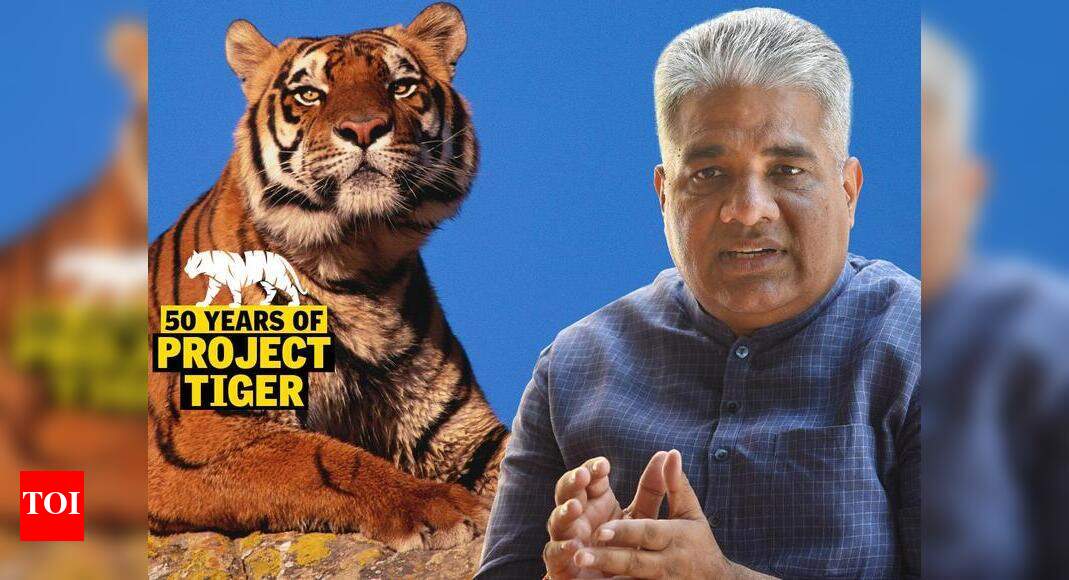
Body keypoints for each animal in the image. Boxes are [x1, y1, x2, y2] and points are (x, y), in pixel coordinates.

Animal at [148, 3, 509, 552]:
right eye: (309, 94)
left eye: (401, 85)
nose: (364, 128)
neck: (360, 269)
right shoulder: (199, 434)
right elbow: (323, 460)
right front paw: (441, 507)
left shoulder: (463, 433)